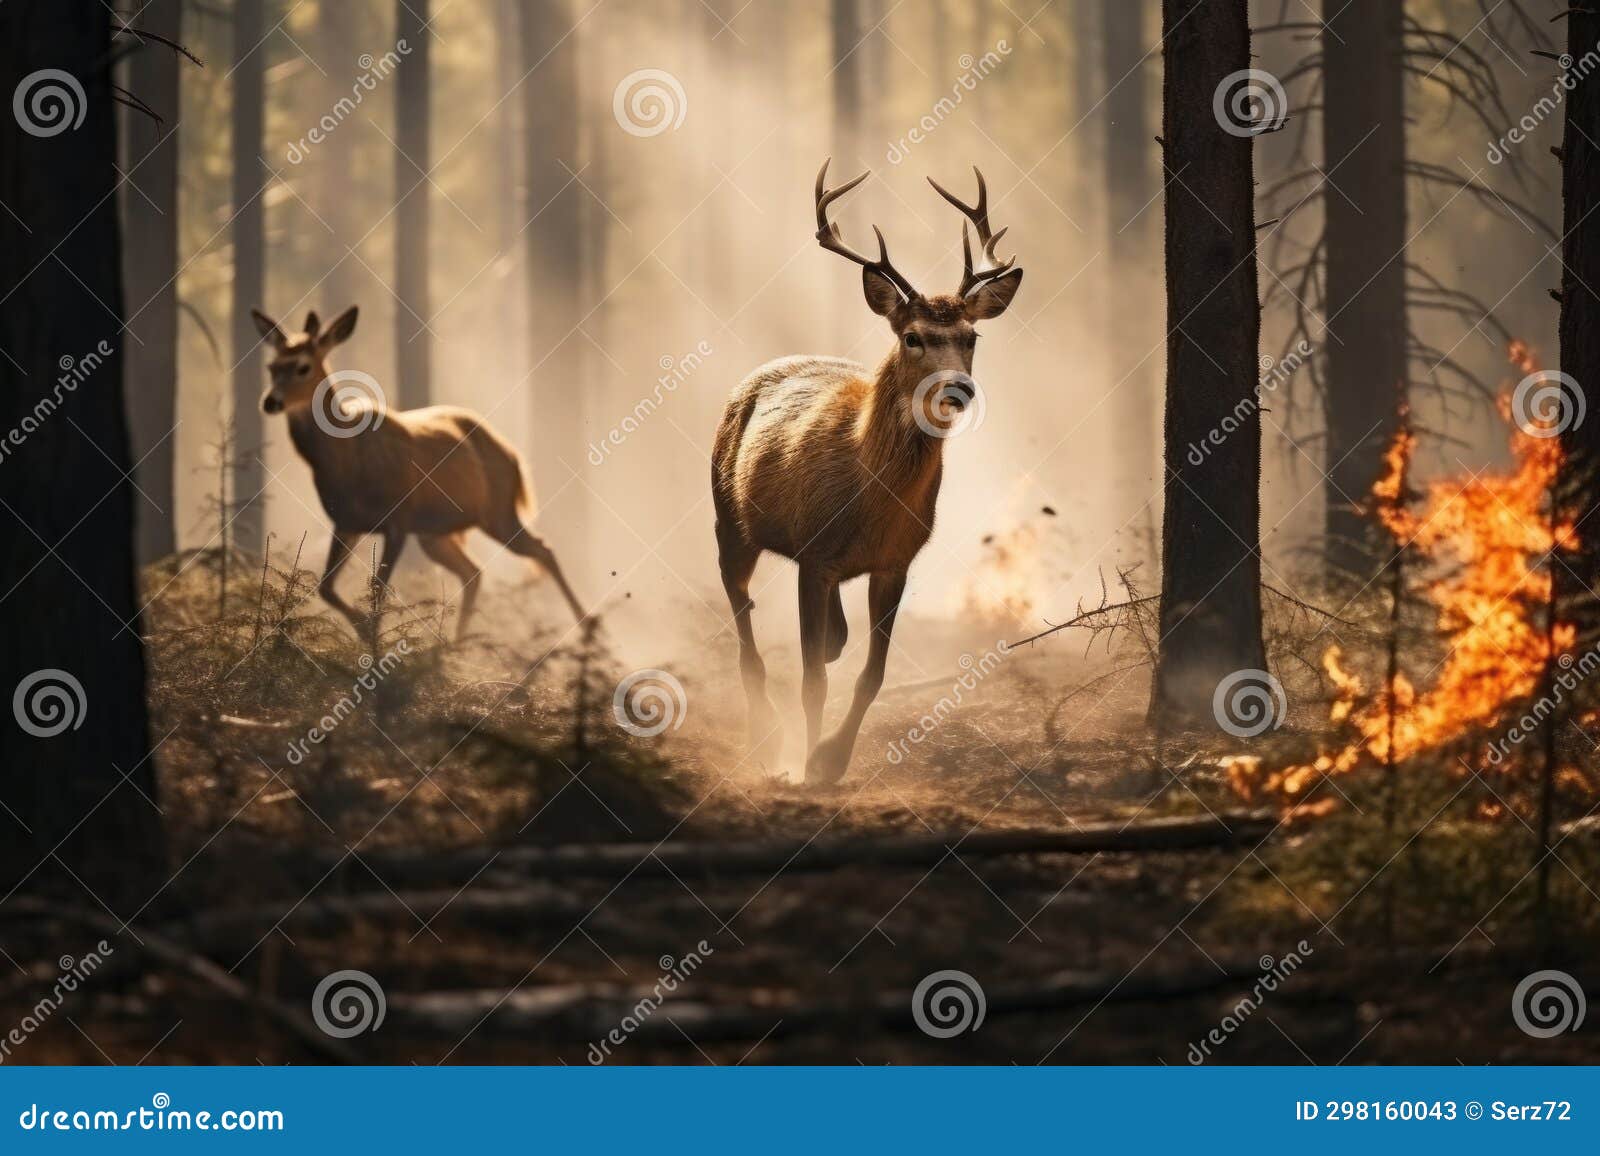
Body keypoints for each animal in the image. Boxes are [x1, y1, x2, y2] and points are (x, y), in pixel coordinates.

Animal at [252, 304, 587, 642]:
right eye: (271, 366)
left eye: (303, 367)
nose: (270, 401)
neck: (345, 463)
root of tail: (513, 455)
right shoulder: (346, 522)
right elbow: (327, 588)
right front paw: (362, 629)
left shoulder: (398, 519)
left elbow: (377, 592)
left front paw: (372, 639)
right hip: (435, 533)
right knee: (474, 572)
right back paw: (454, 645)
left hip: (497, 511)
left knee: (542, 549)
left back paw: (589, 630)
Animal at [711, 161, 1023, 785]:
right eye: (912, 336)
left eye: (971, 337)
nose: (959, 388)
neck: (868, 499)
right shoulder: (812, 555)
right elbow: (813, 680)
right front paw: (810, 763)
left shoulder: (897, 562)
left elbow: (871, 676)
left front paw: (832, 759)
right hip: (726, 517)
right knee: (741, 612)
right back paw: (764, 736)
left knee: (827, 637)